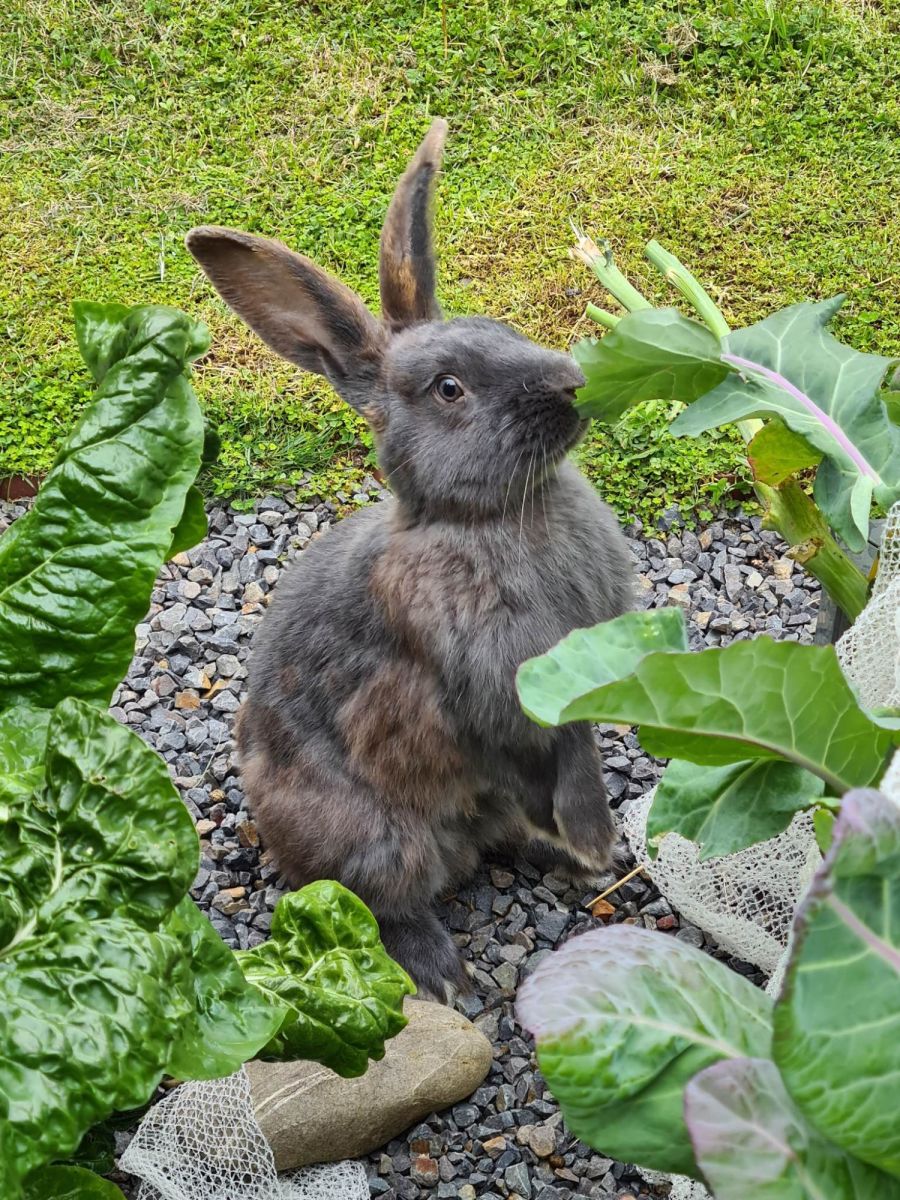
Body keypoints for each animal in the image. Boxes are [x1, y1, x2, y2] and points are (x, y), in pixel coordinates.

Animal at [186, 119, 633, 1000]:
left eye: (502, 329)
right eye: (449, 389)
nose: (572, 385)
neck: (478, 518)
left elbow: (578, 749)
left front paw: (594, 841)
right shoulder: (482, 696)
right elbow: (541, 756)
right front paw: (592, 836)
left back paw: (561, 860)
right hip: (373, 835)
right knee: (382, 902)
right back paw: (448, 975)